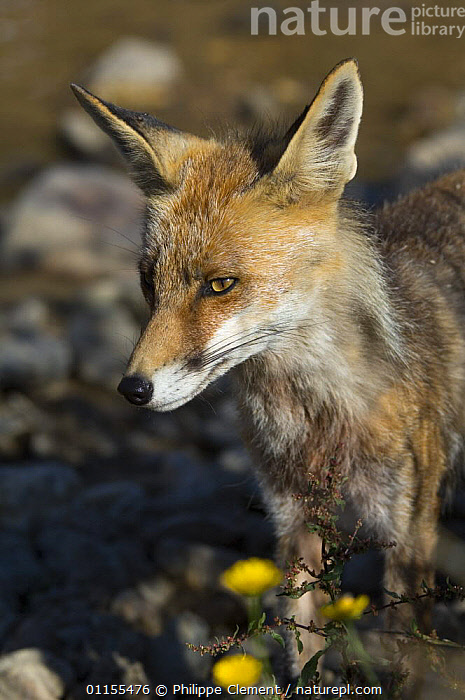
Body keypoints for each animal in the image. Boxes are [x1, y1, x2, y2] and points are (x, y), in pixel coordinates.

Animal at [71, 59, 465, 678]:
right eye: (147, 282)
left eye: (220, 285)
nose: (132, 389)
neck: (317, 420)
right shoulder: (292, 521)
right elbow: (299, 656)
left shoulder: (408, 534)